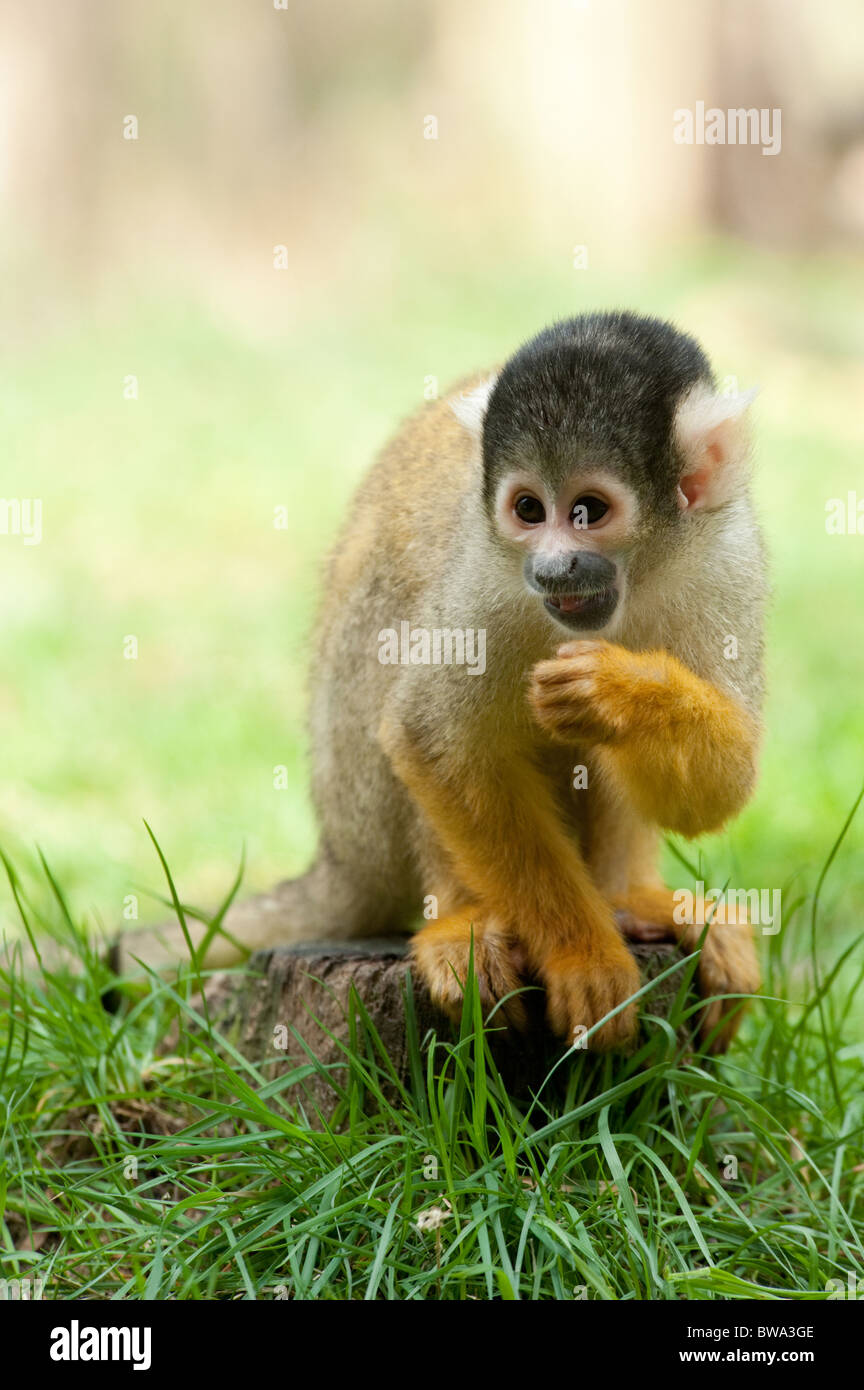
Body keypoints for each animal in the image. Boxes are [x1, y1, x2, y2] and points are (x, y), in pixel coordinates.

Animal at [114, 311, 765, 1052]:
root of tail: (338, 858)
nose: (552, 569)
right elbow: (428, 734)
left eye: (589, 511)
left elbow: (720, 791)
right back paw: (464, 920)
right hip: (359, 804)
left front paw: (619, 693)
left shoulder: (727, 561)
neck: (640, 578)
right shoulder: (482, 571)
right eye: (529, 510)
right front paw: (583, 955)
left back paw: (627, 899)